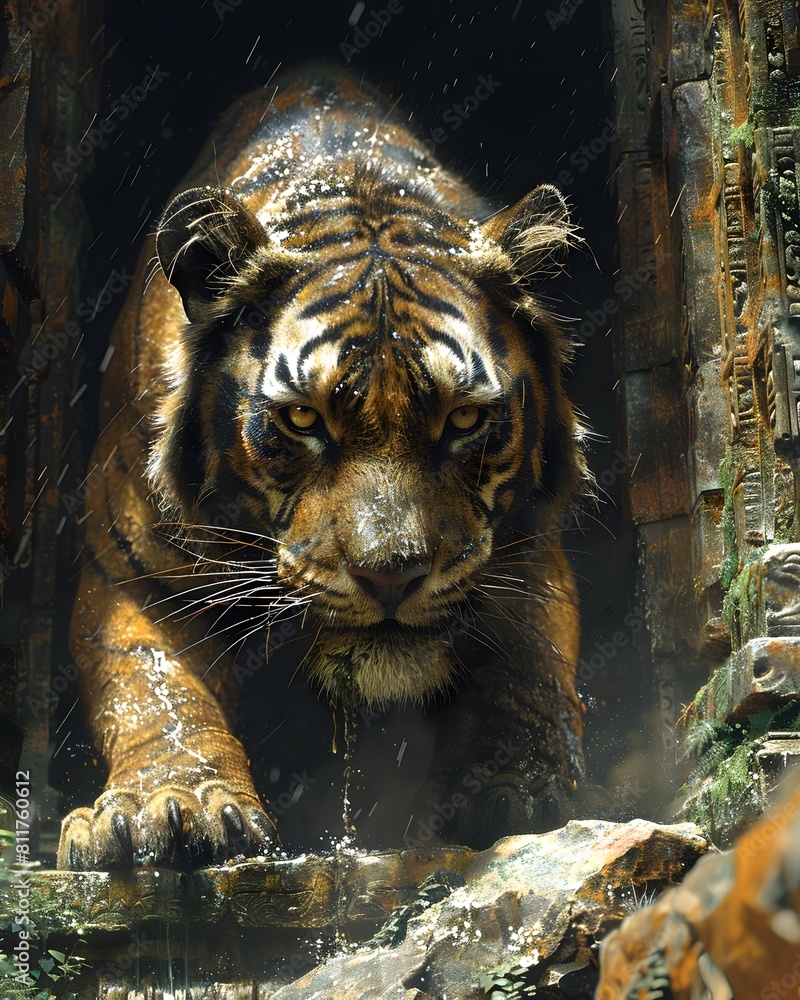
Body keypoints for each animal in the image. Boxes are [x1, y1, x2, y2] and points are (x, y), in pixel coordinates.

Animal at [57, 69, 591, 870]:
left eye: (463, 420)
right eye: (304, 420)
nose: (392, 576)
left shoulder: (523, 549)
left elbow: (529, 663)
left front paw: (512, 786)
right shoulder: (133, 570)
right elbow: (152, 691)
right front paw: (173, 806)